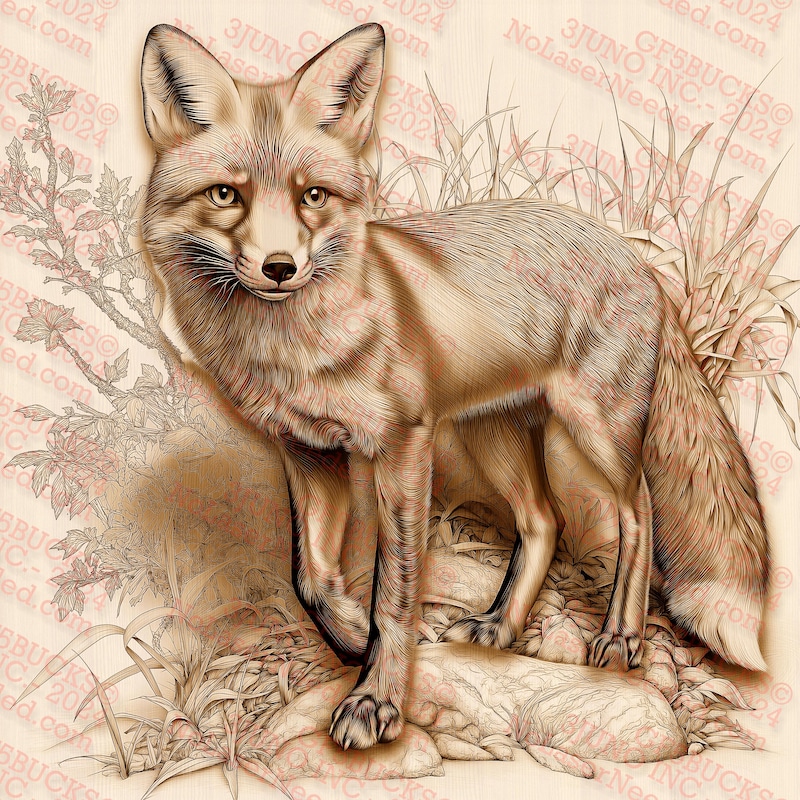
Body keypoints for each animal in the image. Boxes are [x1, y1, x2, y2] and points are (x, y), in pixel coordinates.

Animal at [140, 23, 770, 750]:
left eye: (312, 197)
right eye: (226, 195)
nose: (278, 267)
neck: (295, 348)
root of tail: (635, 256)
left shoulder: (402, 445)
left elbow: (396, 592)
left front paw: (377, 700)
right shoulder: (307, 451)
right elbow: (310, 579)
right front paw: (352, 640)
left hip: (597, 428)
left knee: (637, 510)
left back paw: (619, 637)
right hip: (492, 437)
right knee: (544, 521)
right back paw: (500, 626)